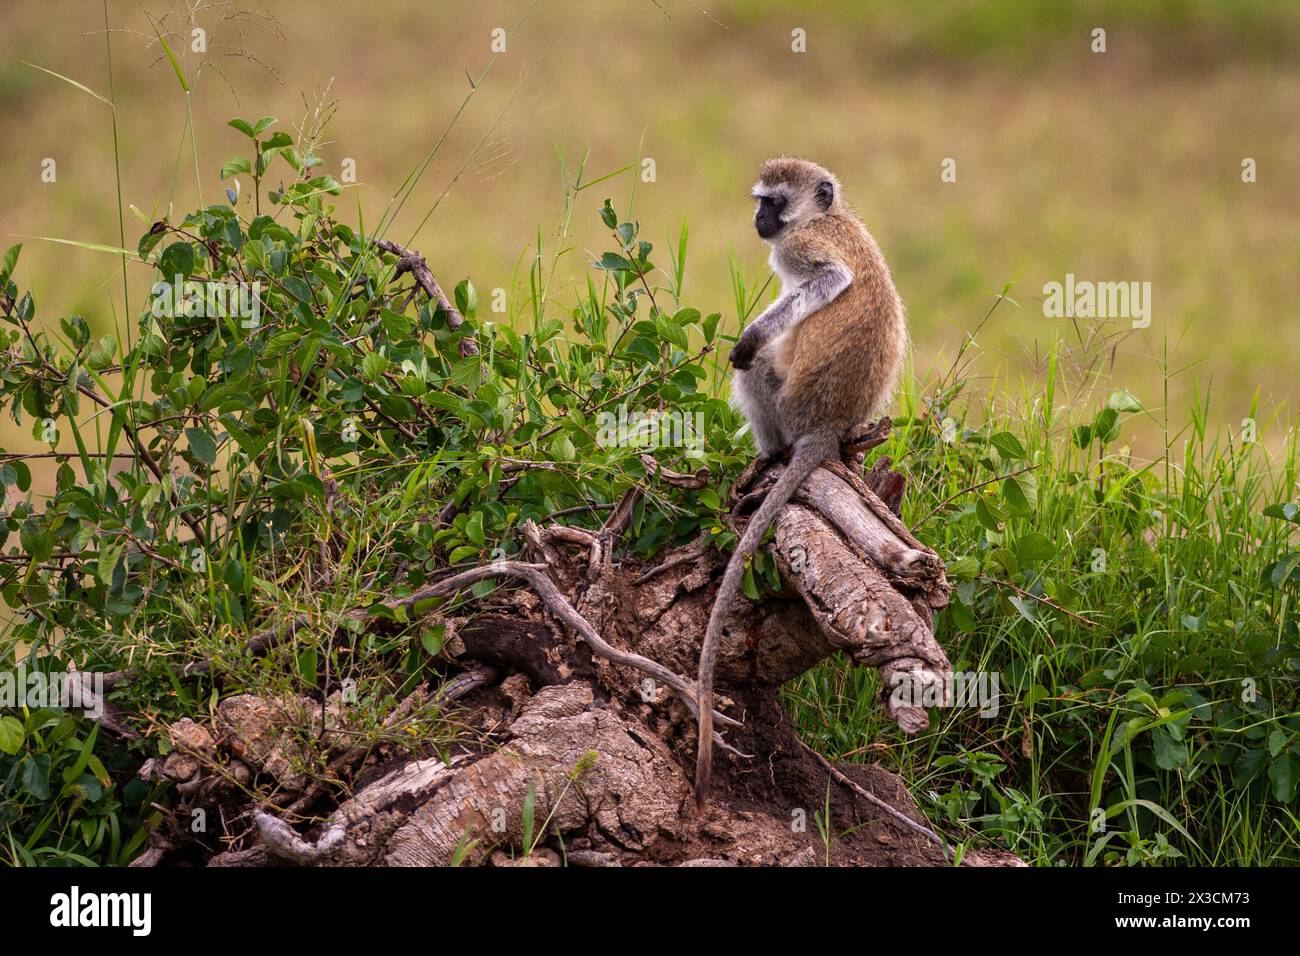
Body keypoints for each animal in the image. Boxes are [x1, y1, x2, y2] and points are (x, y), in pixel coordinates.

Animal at [694, 157, 908, 810]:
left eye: (773, 202)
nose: (758, 220)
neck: (826, 215)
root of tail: (828, 429)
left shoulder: (803, 247)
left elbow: (828, 279)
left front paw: (748, 337)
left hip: (789, 407)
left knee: (761, 368)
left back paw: (769, 455)